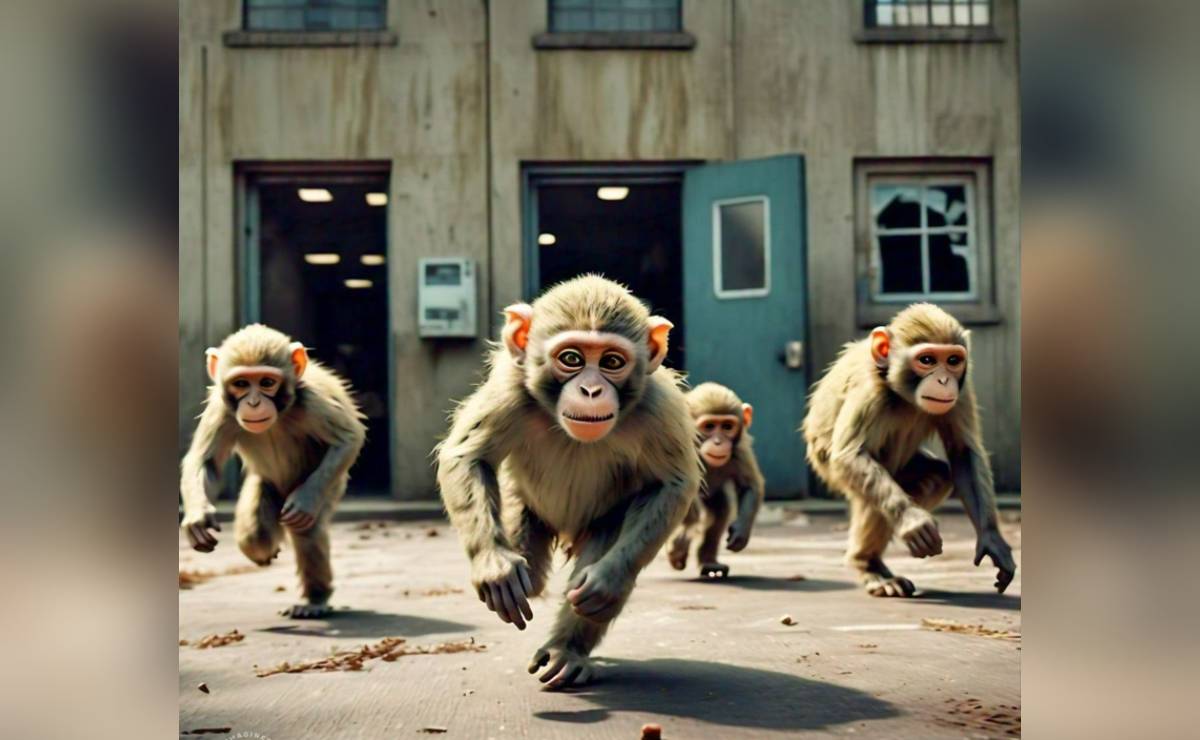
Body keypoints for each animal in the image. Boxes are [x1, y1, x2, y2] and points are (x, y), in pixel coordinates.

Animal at [179, 324, 366, 618]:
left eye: (267, 382)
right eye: (241, 384)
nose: (254, 402)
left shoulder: (311, 400)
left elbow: (348, 439)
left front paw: (303, 501)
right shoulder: (220, 409)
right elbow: (205, 461)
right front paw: (197, 517)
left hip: (332, 487)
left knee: (307, 532)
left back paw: (315, 600)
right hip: (265, 484)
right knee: (255, 535)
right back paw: (265, 552)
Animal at [436, 275, 700, 690]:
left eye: (611, 362)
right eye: (572, 359)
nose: (591, 390)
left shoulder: (656, 406)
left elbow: (670, 485)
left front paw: (608, 580)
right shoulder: (511, 389)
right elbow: (467, 457)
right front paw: (494, 564)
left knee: (587, 579)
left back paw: (566, 652)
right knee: (531, 577)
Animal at [666, 383, 766, 578]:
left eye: (727, 426)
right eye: (709, 426)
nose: (719, 442)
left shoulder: (739, 450)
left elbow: (749, 486)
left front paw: (741, 530)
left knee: (721, 510)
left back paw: (709, 562)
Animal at [802, 303, 1016, 598]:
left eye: (953, 360)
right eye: (926, 360)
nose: (943, 380)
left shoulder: (962, 389)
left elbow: (963, 452)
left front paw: (992, 539)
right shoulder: (870, 391)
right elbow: (850, 456)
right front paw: (912, 520)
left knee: (937, 476)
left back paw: (875, 560)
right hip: (826, 466)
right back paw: (868, 565)